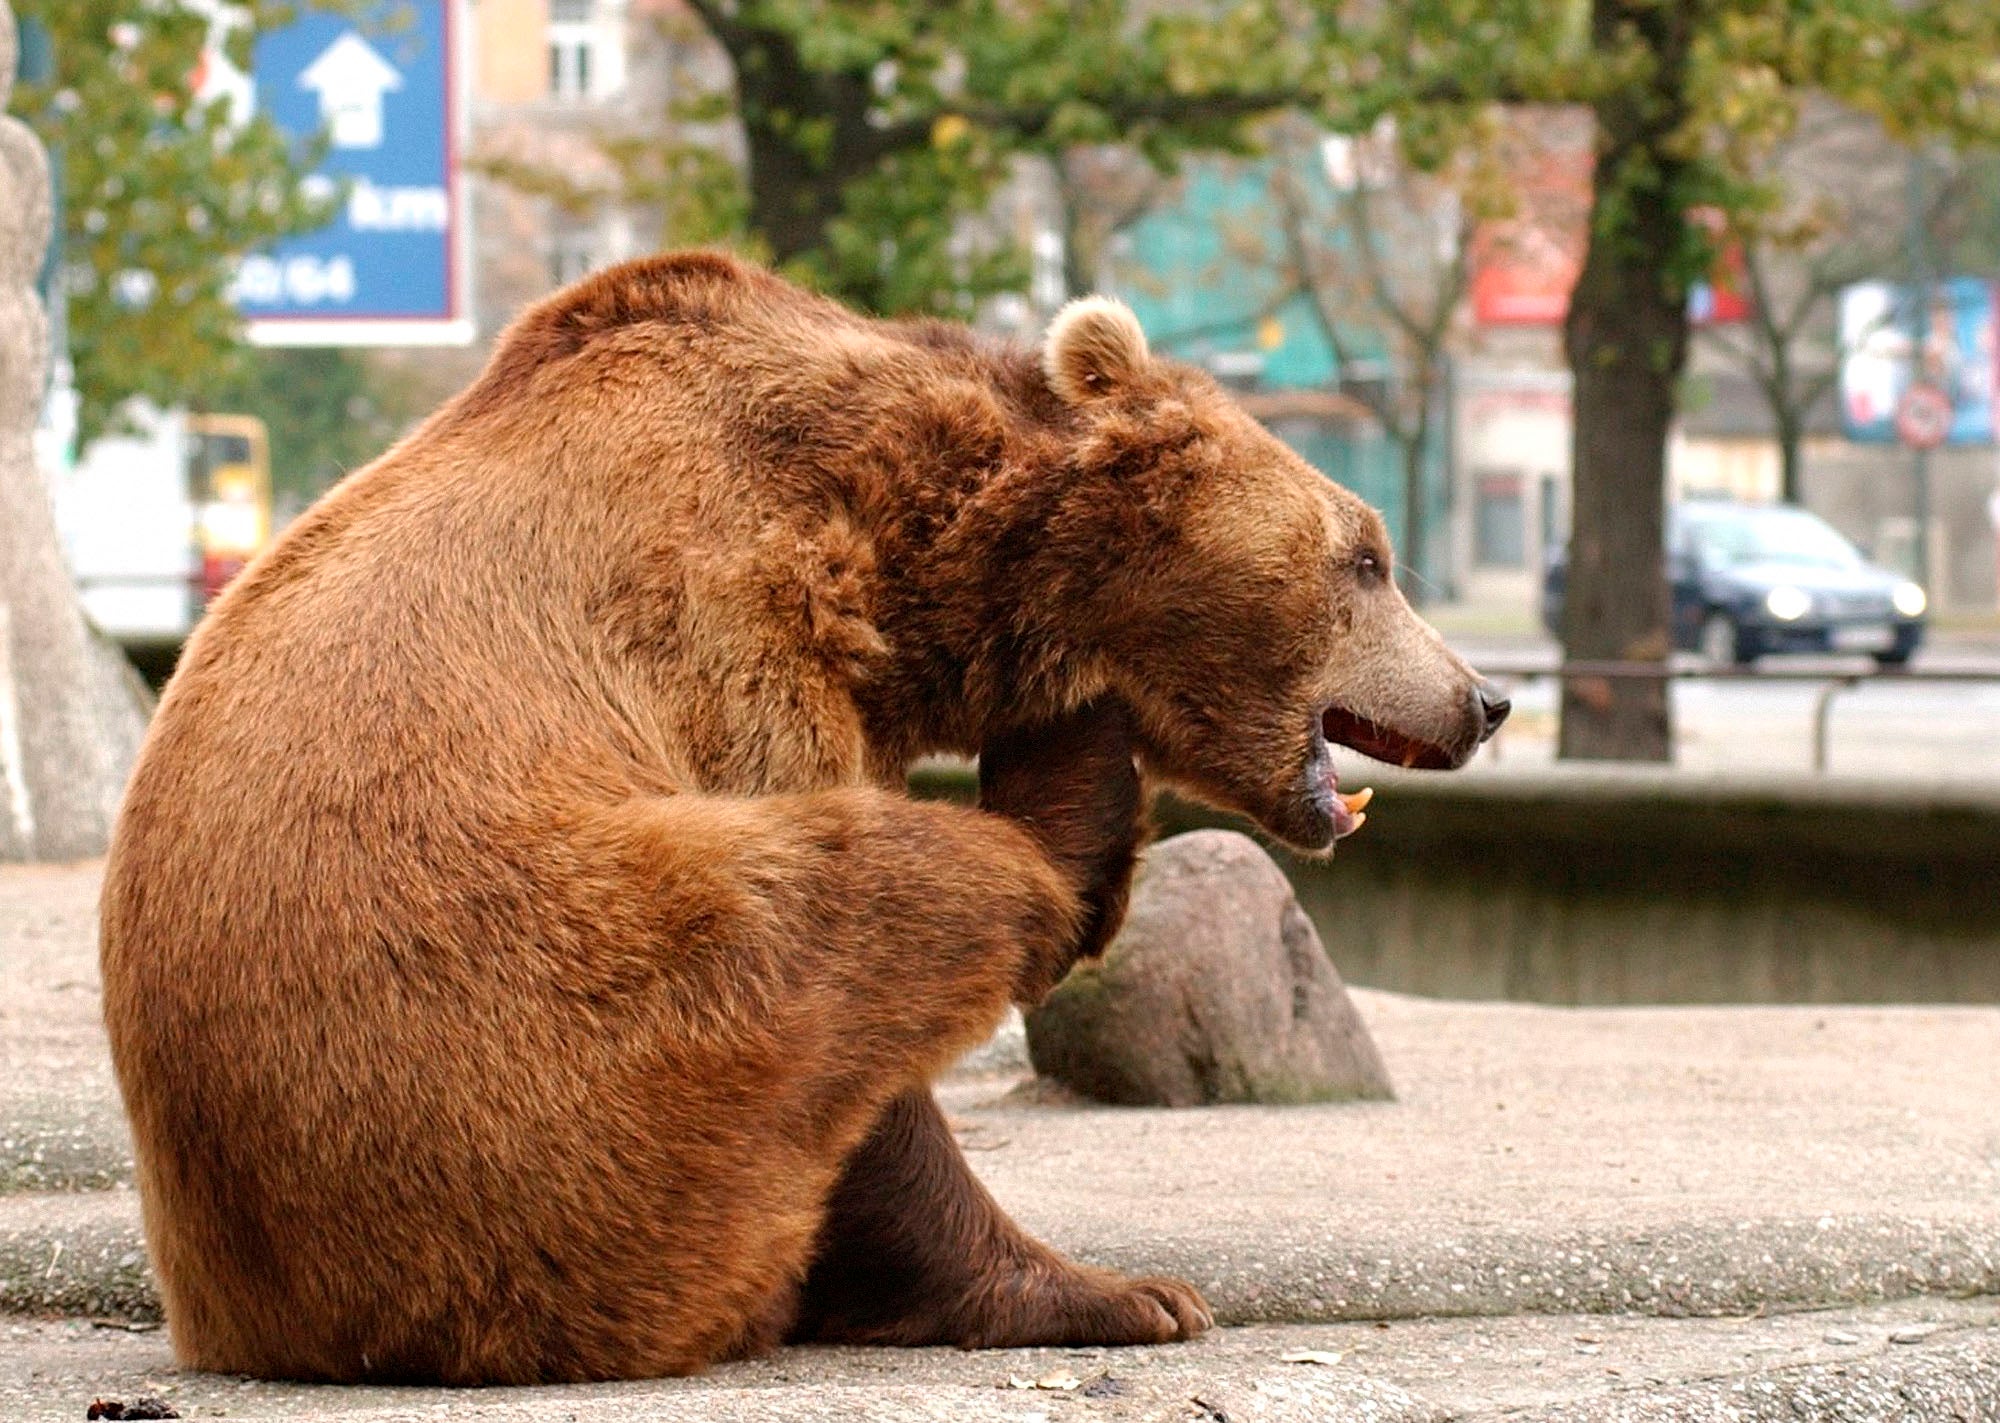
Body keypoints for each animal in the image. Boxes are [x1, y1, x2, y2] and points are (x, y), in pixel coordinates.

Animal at [99, 251, 1506, 1385]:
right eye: (1368, 555)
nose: (1483, 696)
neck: (904, 555)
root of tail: (259, 1315)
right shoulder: (729, 633)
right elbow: (868, 1082)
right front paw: (1127, 1292)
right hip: (529, 1036)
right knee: (863, 908)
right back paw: (1061, 824)